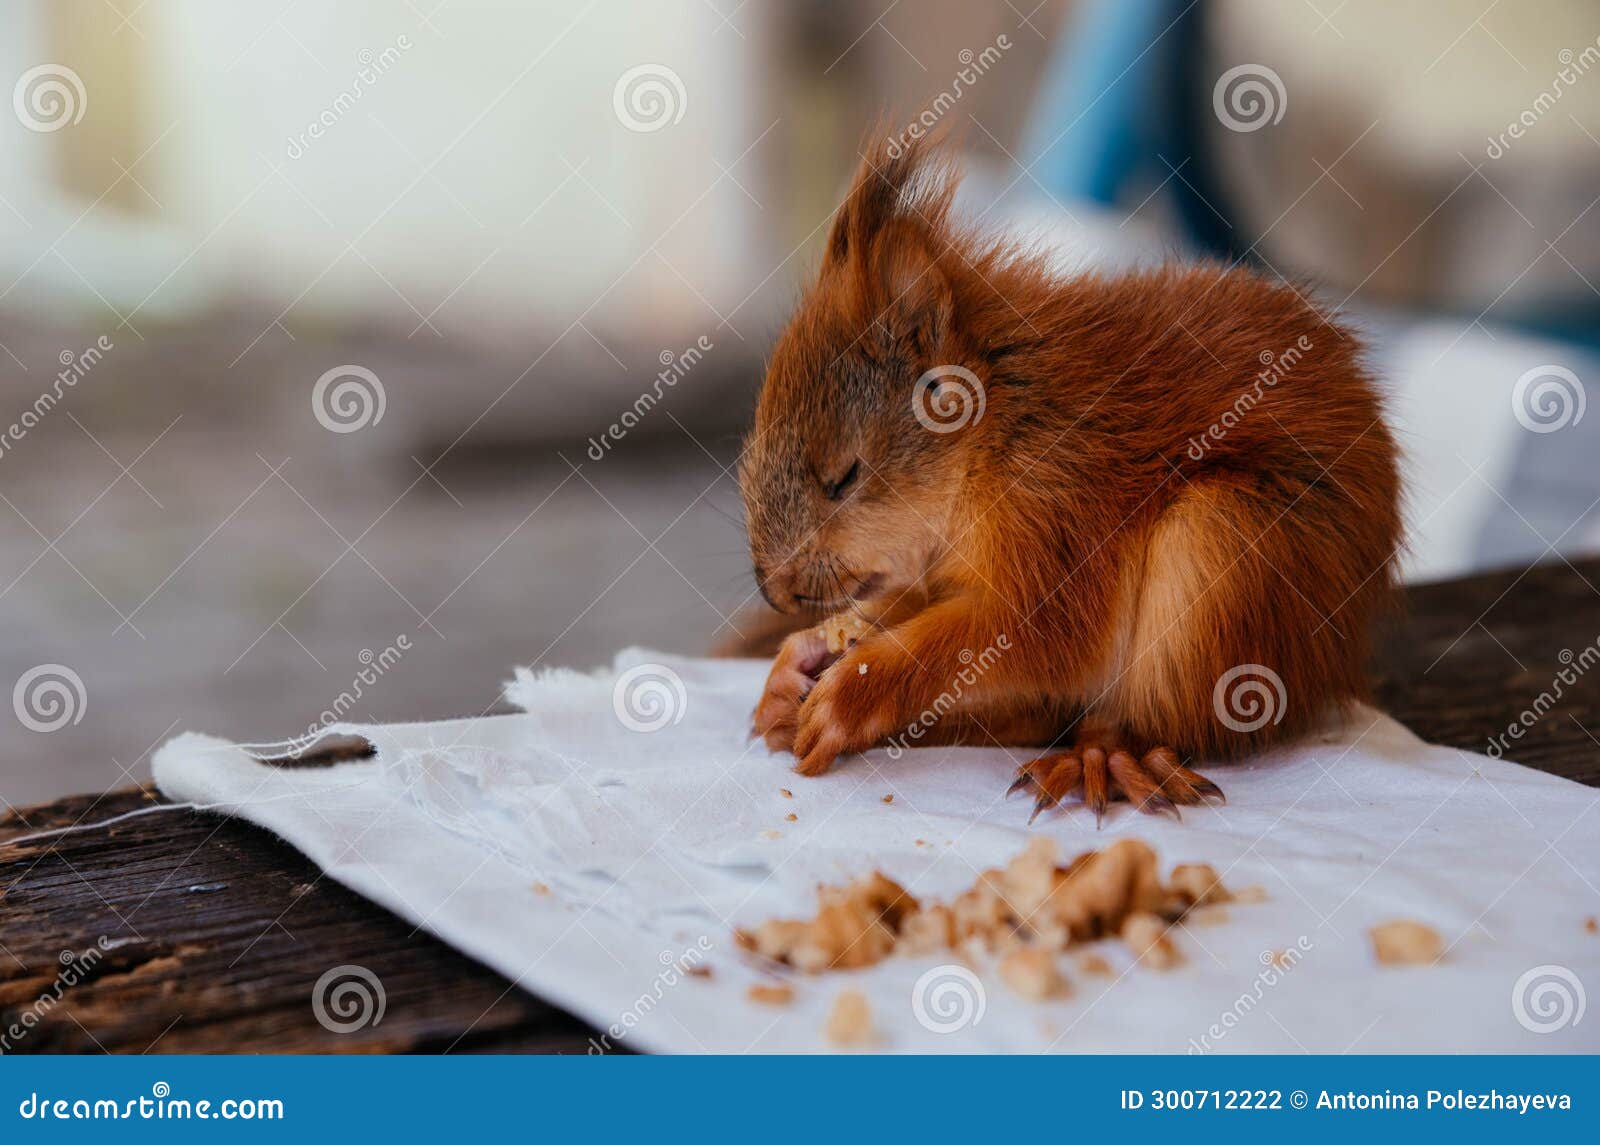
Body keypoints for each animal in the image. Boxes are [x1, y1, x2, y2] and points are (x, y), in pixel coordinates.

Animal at [736, 132, 1402, 823]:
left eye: (844, 476)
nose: (771, 591)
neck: (993, 438)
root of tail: (1337, 661)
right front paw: (800, 662)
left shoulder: (1060, 508)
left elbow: (1020, 634)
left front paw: (852, 695)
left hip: (1225, 548)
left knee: (1159, 718)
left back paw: (1107, 755)